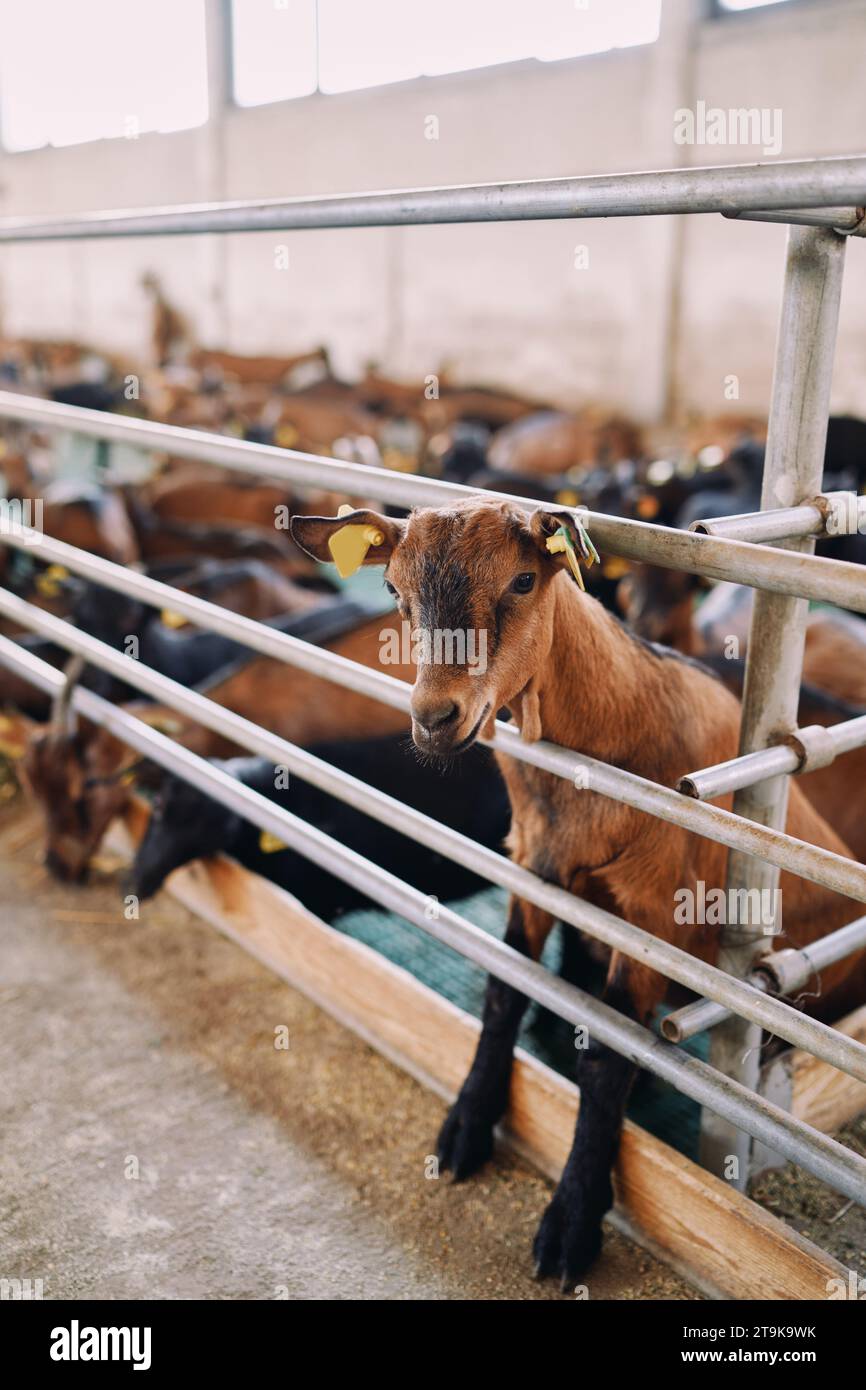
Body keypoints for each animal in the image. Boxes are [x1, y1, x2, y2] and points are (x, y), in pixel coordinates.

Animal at [292, 498, 865, 1285]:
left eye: (524, 580)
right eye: (392, 590)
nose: (435, 719)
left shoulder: (653, 910)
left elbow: (607, 1060)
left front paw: (570, 1227)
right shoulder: (534, 869)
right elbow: (503, 991)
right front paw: (464, 1129)